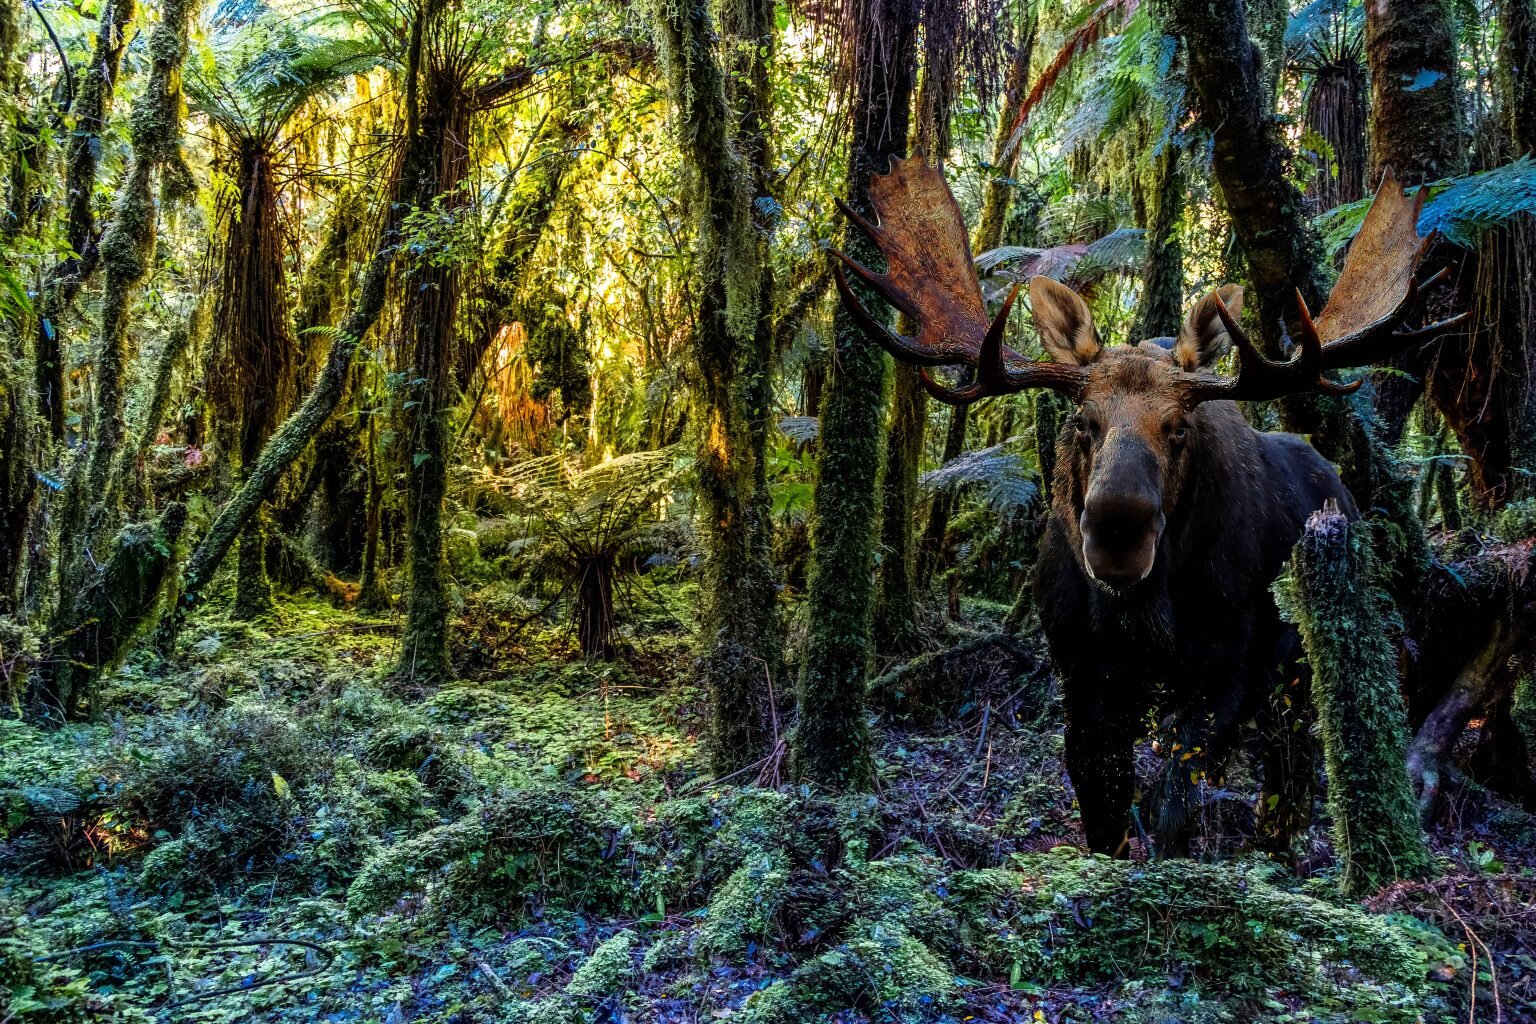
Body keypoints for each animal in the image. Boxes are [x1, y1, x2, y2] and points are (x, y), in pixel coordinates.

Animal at [831, 152, 1462, 858]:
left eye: (1180, 428)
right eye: (1082, 422)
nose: (1116, 530)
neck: (1142, 616)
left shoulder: (1228, 668)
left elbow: (1173, 808)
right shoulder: (1082, 673)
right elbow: (1101, 810)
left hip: (1305, 661)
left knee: (1292, 771)